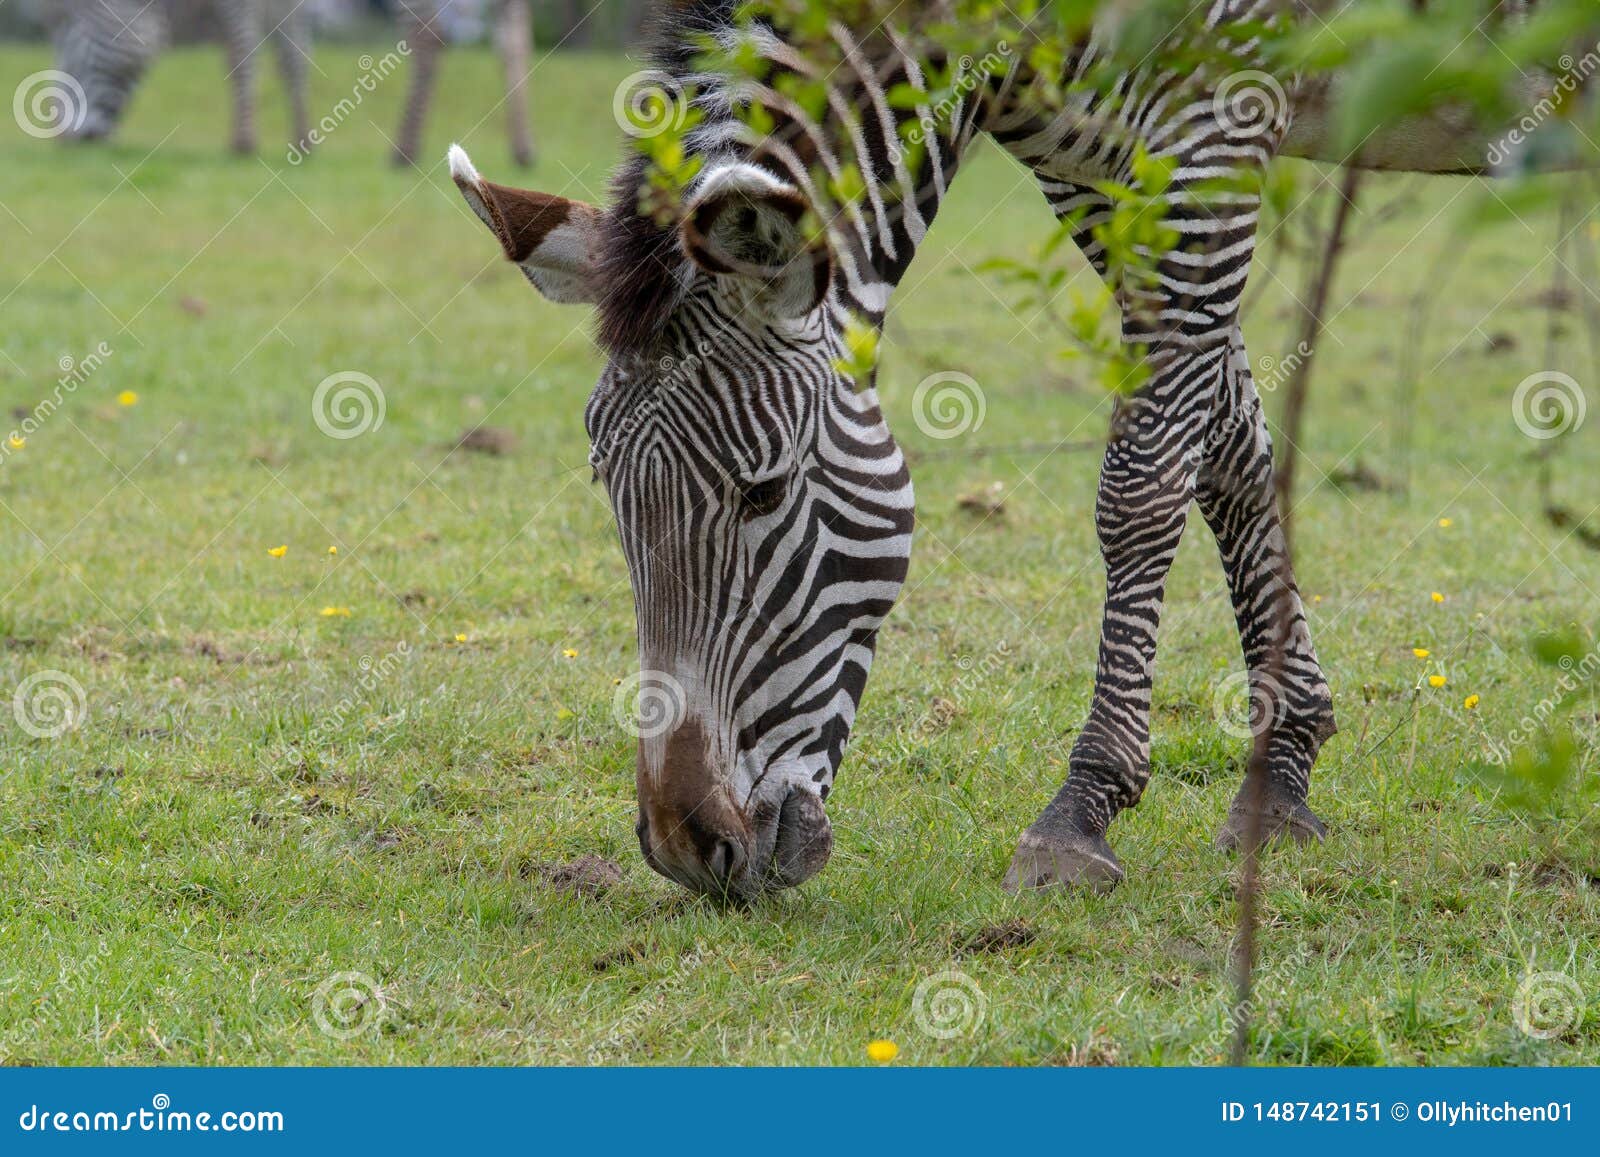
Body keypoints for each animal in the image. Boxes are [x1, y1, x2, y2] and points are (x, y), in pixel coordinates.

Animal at [446, 0, 1566, 899]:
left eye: (762, 492)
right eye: (606, 492)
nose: (687, 850)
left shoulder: (1213, 125)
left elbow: (1145, 482)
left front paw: (1083, 806)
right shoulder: (1104, 173)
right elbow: (1229, 454)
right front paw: (1282, 774)